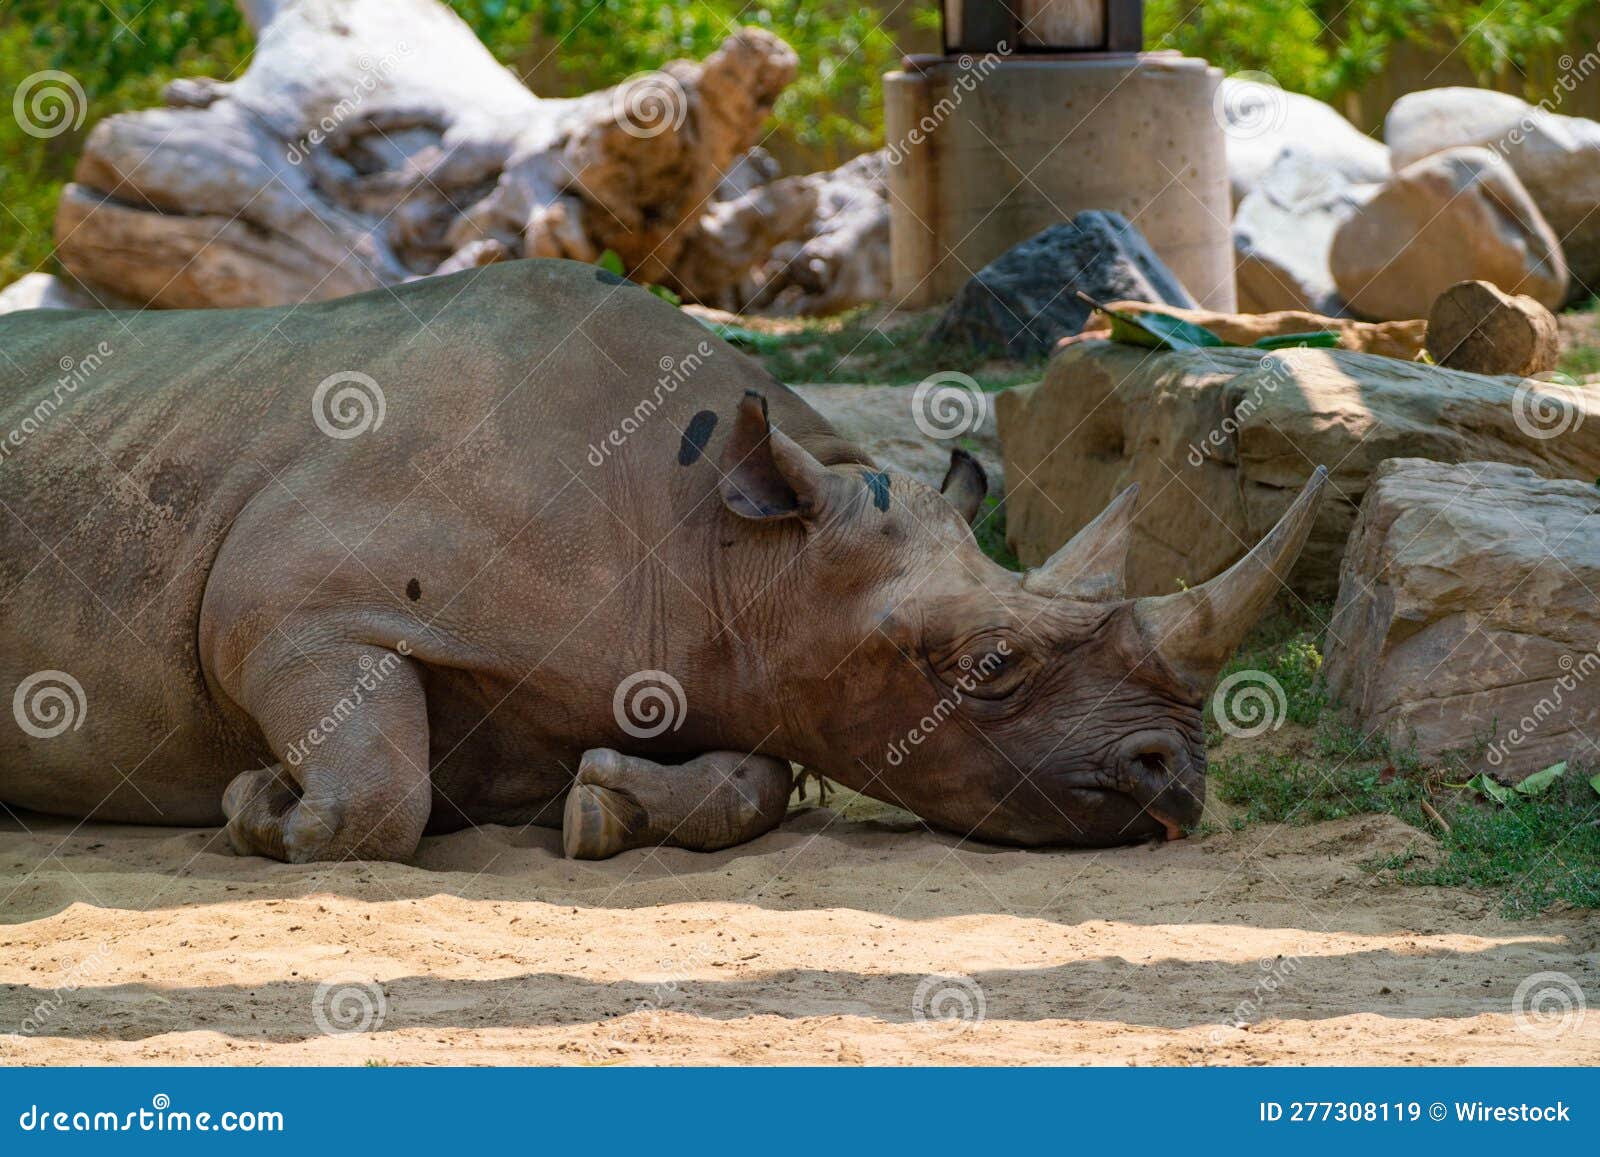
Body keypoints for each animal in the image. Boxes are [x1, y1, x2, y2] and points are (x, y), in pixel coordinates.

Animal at [0, 259, 1325, 864]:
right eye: (989, 662)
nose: (1173, 774)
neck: (728, 542)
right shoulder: (293, 608)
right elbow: (375, 794)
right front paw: (263, 808)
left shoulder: (729, 661)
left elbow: (757, 777)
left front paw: (600, 806)